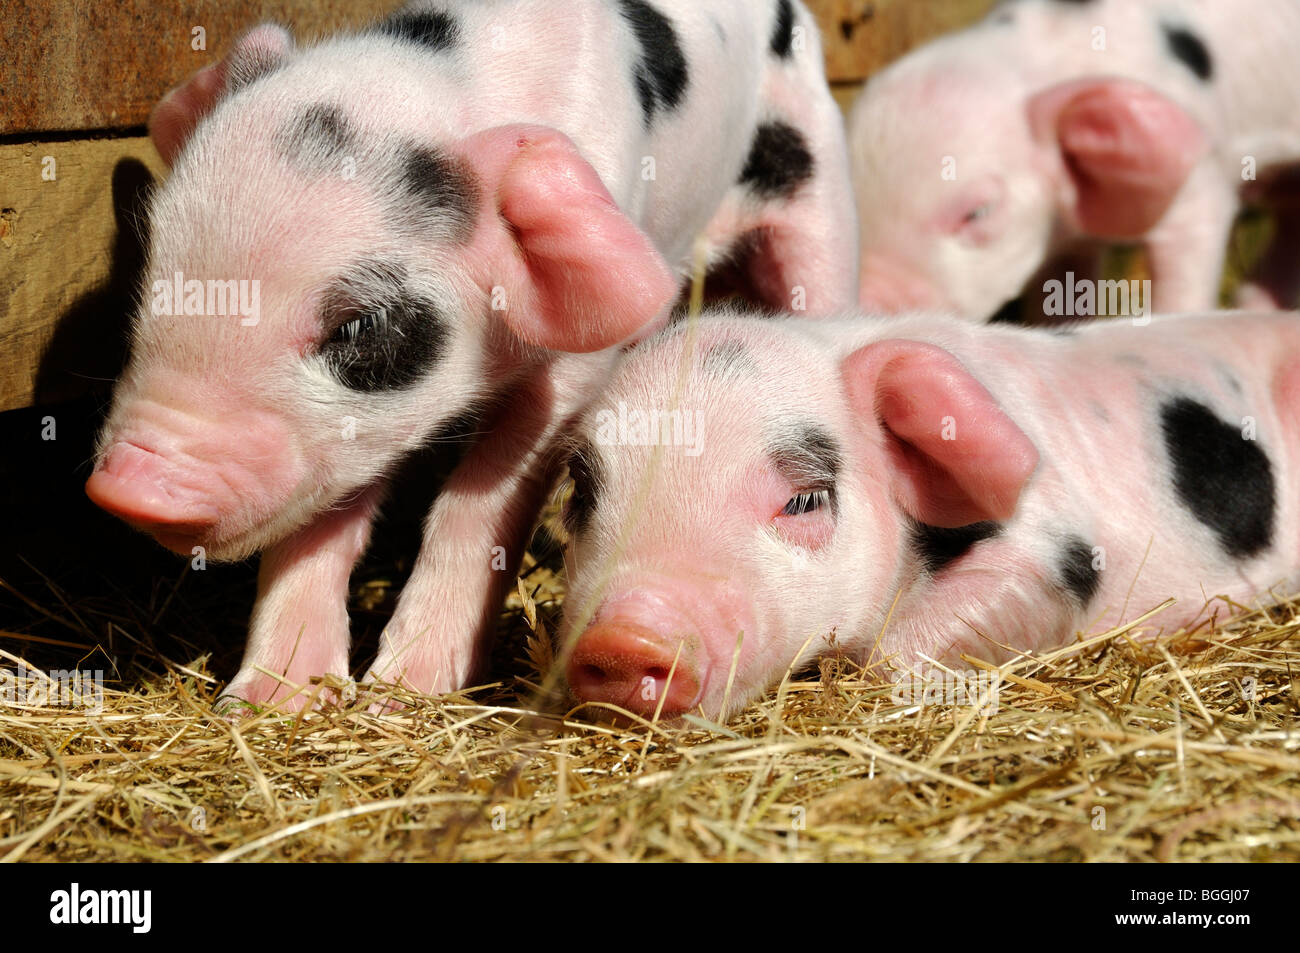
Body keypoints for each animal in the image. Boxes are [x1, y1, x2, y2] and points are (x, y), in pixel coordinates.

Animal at [84, 0, 860, 710]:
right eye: (155, 278)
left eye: (357, 328)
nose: (127, 484)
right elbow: (323, 520)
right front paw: (271, 700)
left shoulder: (575, 368)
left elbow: (478, 502)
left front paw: (403, 693)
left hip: (815, 176)